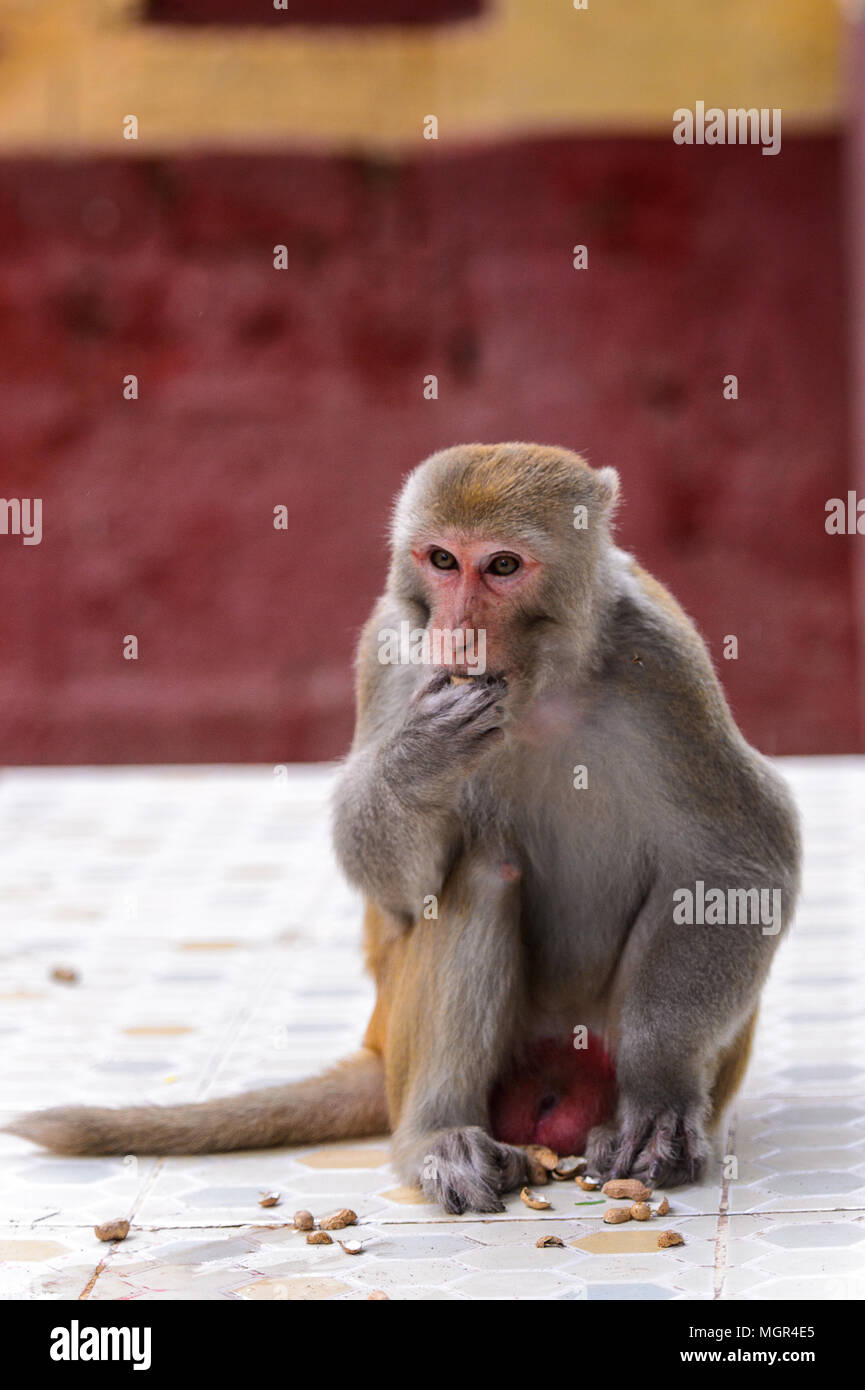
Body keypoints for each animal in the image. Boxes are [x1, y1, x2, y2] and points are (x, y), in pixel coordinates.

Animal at [6, 444, 800, 1215]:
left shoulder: (663, 661)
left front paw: (658, 1087)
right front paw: (420, 758)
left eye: (502, 566)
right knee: (482, 873)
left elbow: (737, 866)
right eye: (442, 560)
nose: (456, 631)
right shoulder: (388, 648)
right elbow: (397, 890)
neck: (538, 688)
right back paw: (438, 1135)